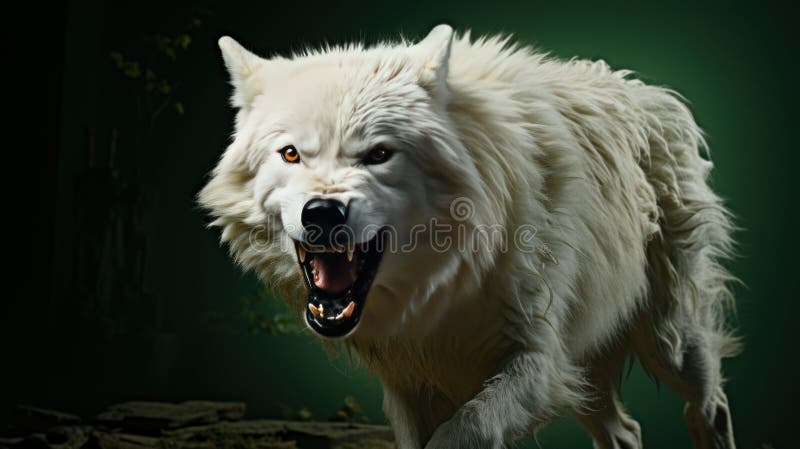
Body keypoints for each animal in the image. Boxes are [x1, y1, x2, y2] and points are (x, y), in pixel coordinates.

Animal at [198, 24, 739, 449]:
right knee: (626, 431)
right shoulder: (408, 381)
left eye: (379, 154)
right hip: (586, 365)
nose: (323, 214)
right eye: (290, 154)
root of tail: (644, 89)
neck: (443, 282)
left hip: (669, 341)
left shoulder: (538, 356)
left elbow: (467, 429)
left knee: (710, 404)